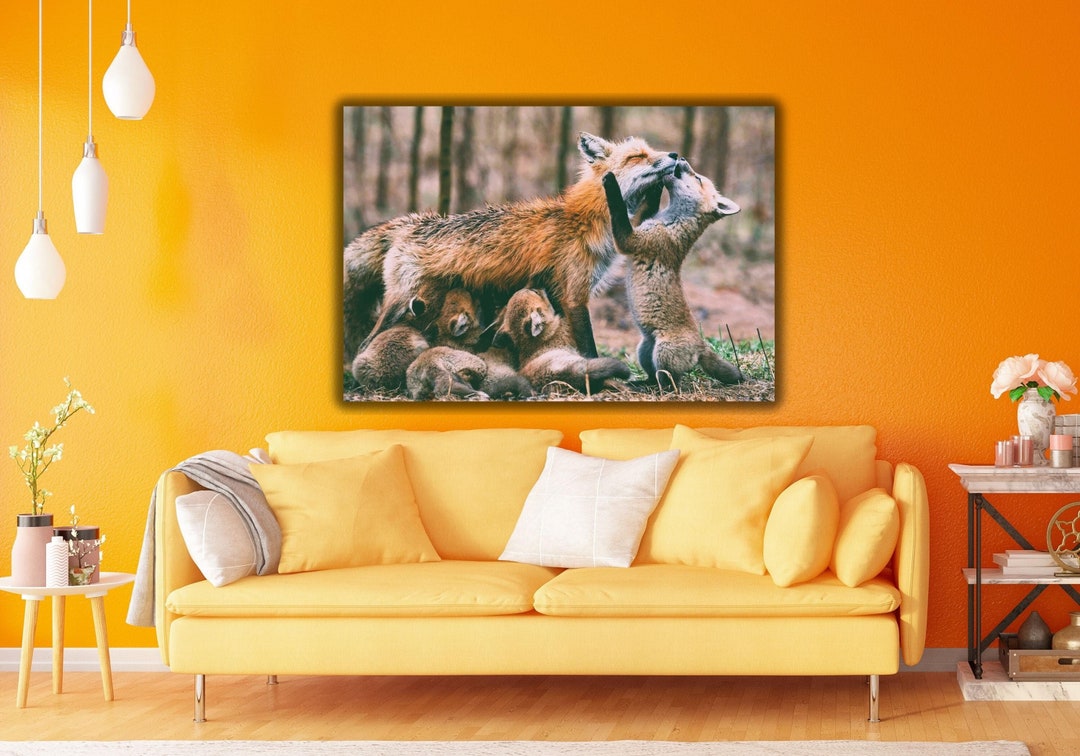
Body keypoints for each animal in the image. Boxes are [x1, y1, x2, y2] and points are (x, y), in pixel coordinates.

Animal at [343, 132, 678, 360]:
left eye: (651, 151)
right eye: (637, 156)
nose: (675, 155)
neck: (586, 219)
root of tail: (410, 222)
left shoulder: (556, 294)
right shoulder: (574, 295)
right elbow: (589, 347)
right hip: (400, 303)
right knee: (366, 341)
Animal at [602, 158, 742, 389]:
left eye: (698, 178)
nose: (682, 159)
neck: (670, 222)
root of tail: (701, 345)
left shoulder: (633, 240)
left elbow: (619, 210)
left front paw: (611, 182)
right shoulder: (641, 224)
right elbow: (646, 207)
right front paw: (654, 186)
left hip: (663, 353)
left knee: (670, 384)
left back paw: (654, 389)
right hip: (645, 348)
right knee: (652, 377)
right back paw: (640, 384)